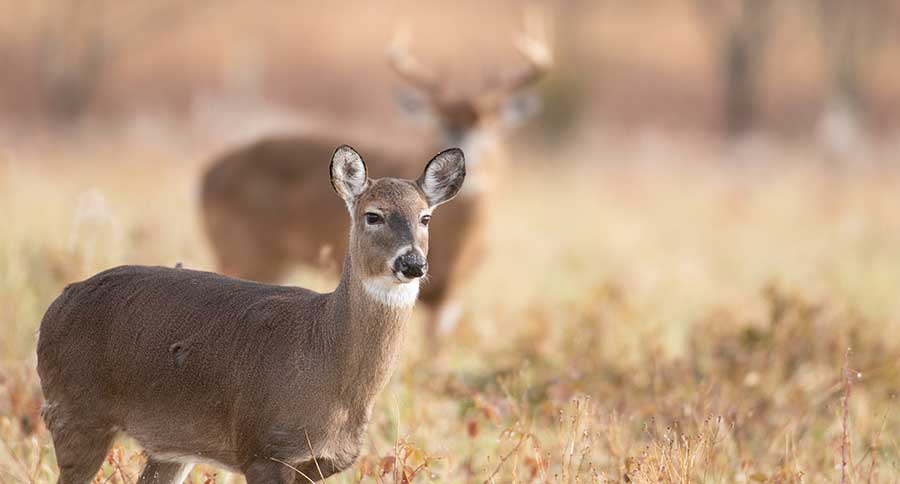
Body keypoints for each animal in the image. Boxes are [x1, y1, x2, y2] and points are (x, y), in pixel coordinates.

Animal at [36, 145, 465, 484]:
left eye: (425, 217)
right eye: (373, 215)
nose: (413, 263)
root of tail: (56, 305)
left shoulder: (316, 465)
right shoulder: (264, 449)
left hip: (168, 446)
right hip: (75, 412)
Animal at [200, 22, 551, 344]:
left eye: (491, 122)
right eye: (439, 119)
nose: (461, 137)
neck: (458, 246)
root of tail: (207, 175)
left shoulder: (454, 291)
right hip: (239, 250)